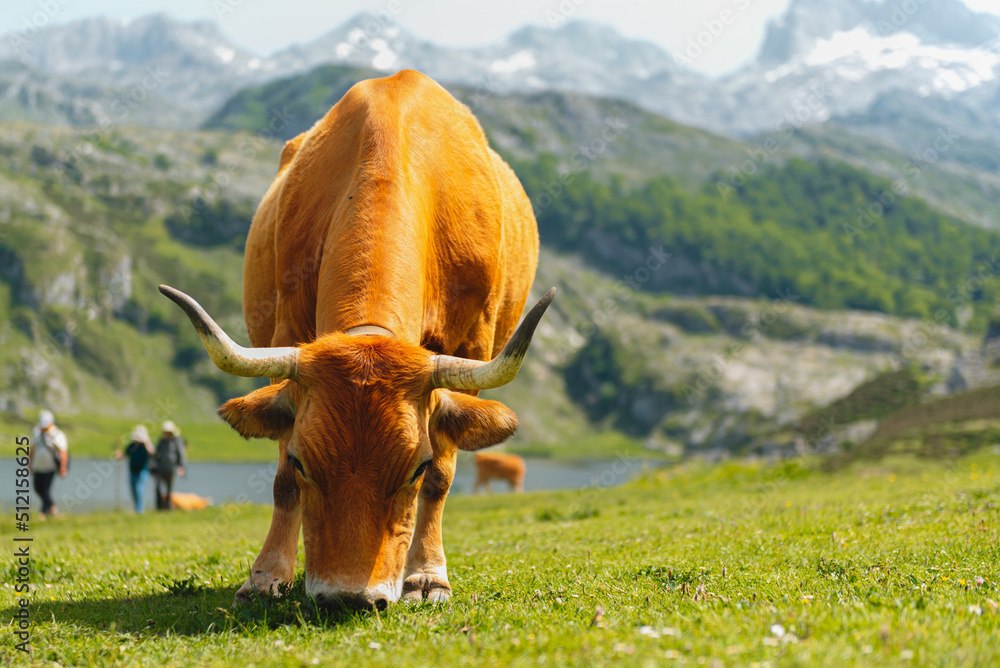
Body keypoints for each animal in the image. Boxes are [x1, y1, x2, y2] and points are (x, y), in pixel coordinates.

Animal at [159, 70, 553, 610]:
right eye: (304, 461)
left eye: (415, 467)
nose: (349, 597)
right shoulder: (288, 337)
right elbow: (281, 482)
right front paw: (265, 575)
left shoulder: (470, 350)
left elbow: (444, 475)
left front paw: (427, 576)